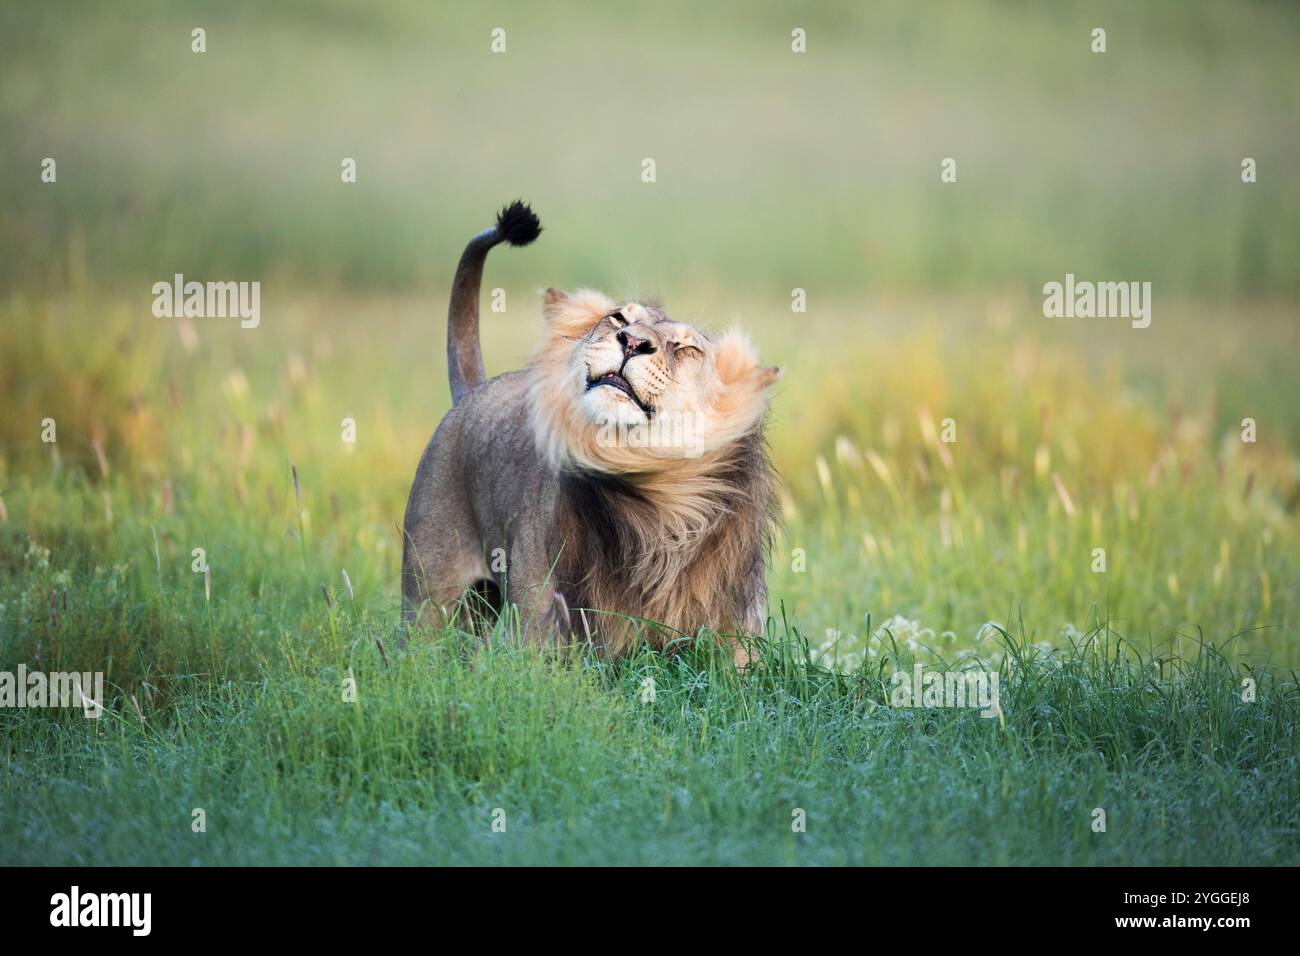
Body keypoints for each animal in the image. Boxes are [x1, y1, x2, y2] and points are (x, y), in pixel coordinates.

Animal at [400, 201, 780, 662]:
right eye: (618, 318)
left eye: (687, 348)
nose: (631, 342)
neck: (662, 506)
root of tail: (473, 391)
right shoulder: (544, 620)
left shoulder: (736, 626)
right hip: (428, 594)